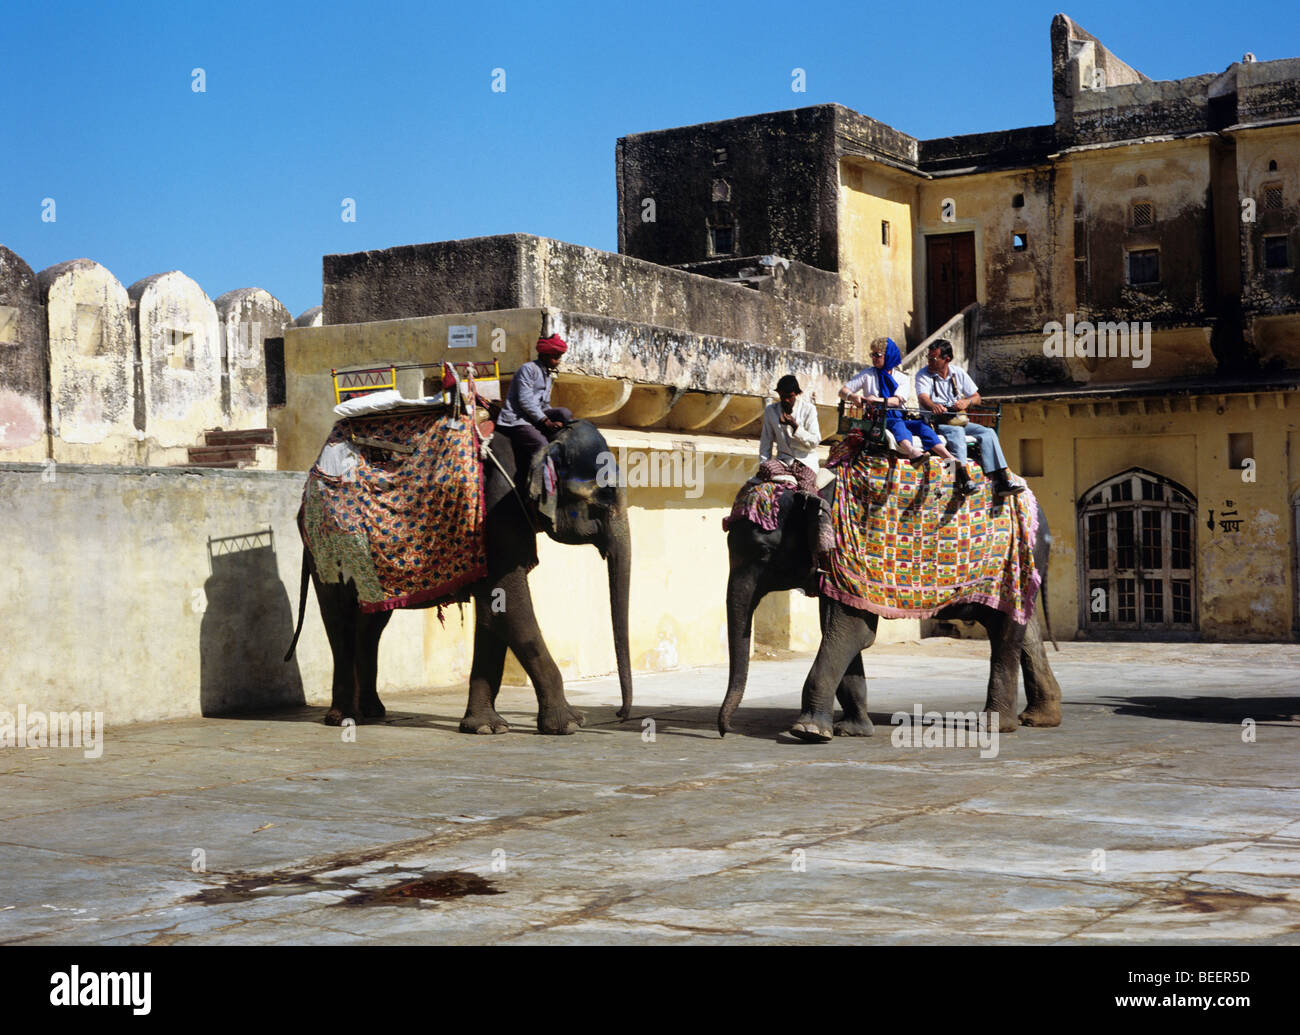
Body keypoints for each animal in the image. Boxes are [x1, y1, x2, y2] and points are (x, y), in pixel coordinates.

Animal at [285, 418, 632, 735]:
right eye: (603, 497)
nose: (619, 715)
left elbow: (495, 611)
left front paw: (486, 728)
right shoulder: (497, 514)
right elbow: (511, 606)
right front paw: (570, 724)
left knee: (371, 623)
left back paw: (372, 712)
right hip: (330, 544)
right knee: (339, 615)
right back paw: (345, 718)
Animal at [718, 472, 1062, 741]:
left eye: (763, 552)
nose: (726, 730)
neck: (814, 492)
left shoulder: (851, 557)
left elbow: (853, 633)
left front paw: (808, 731)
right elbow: (844, 635)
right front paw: (852, 731)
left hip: (1008, 564)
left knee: (1004, 634)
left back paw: (994, 727)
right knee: (1024, 629)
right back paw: (1039, 719)